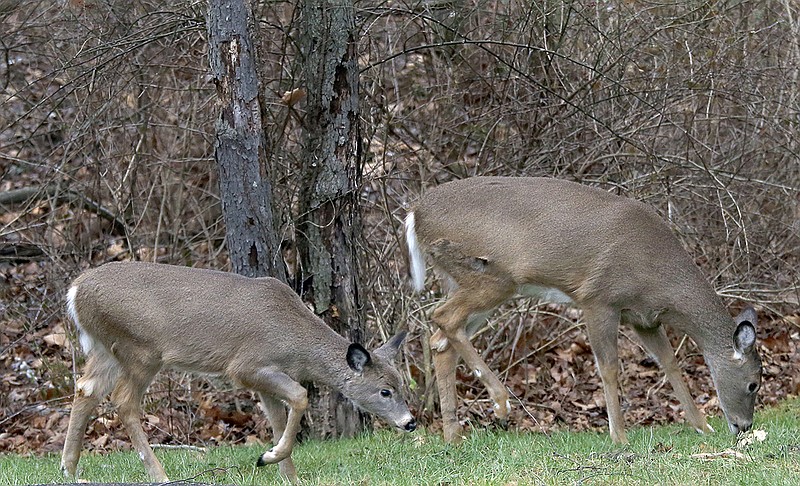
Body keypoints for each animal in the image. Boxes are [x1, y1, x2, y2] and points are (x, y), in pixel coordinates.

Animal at [60, 261, 416, 483]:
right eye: (385, 391)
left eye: (402, 385)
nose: (409, 422)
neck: (296, 343)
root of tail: (74, 290)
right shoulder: (246, 365)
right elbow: (300, 396)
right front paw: (269, 458)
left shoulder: (265, 380)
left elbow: (279, 419)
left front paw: (285, 472)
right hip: (140, 349)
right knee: (123, 401)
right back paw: (159, 475)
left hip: (106, 348)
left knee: (85, 388)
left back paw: (70, 470)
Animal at [405, 176, 761, 444]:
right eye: (754, 384)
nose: (744, 426)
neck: (661, 280)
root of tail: (415, 212)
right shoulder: (598, 299)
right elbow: (609, 367)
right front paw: (619, 437)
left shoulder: (643, 317)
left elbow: (670, 363)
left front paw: (702, 426)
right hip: (490, 275)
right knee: (443, 318)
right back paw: (500, 403)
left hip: (465, 282)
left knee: (441, 339)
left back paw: (453, 435)